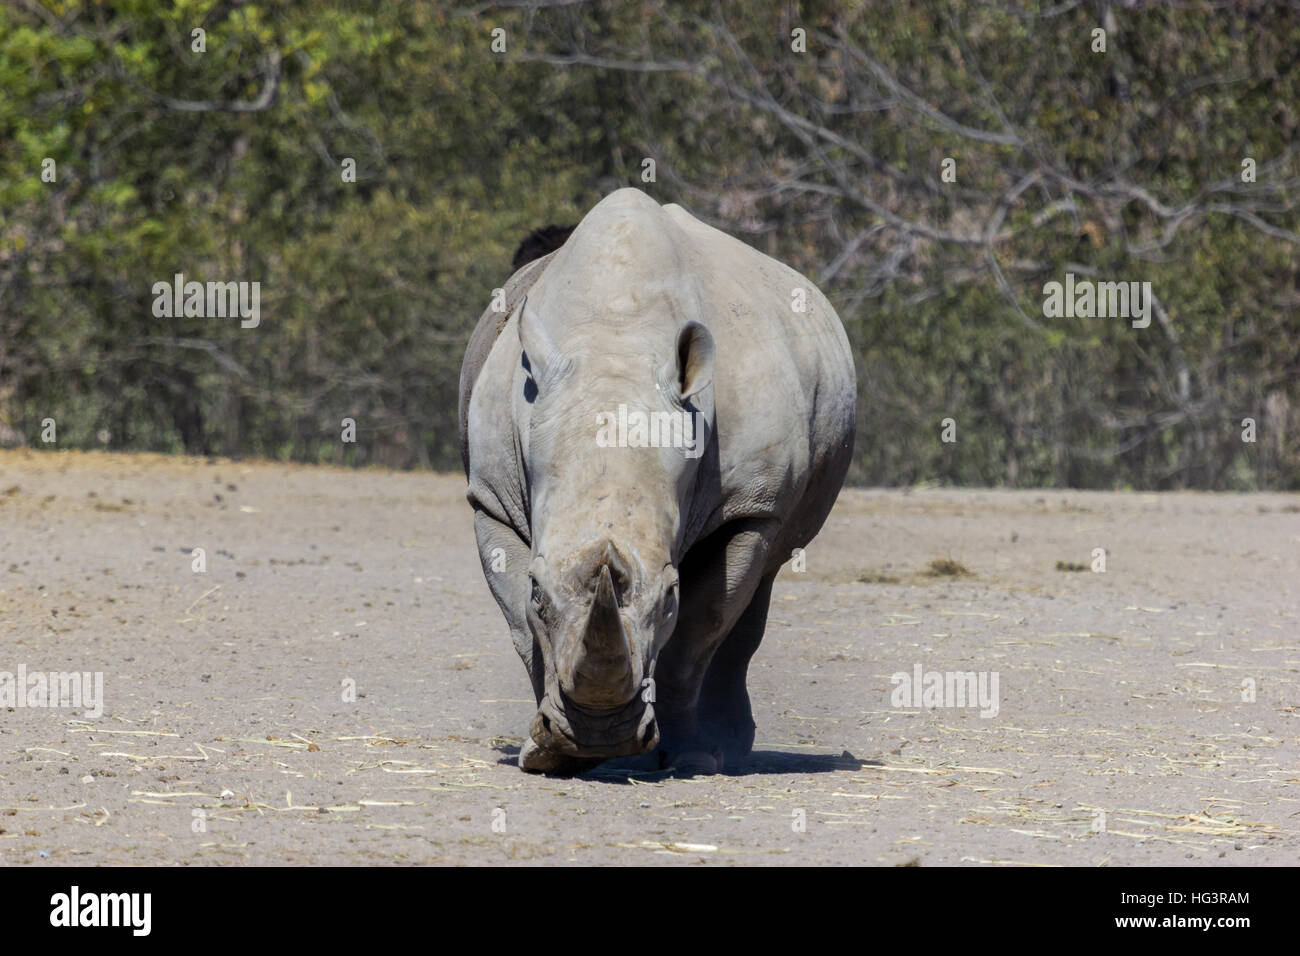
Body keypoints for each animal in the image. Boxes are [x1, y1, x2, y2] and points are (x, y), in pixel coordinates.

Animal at [459, 188, 855, 774]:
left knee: (762, 580)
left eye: (668, 597)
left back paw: (727, 747)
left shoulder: (750, 503)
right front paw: (549, 751)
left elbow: (700, 626)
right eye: (537, 590)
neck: (616, 344)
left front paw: (690, 758)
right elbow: (519, 626)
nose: (598, 737)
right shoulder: (493, 498)